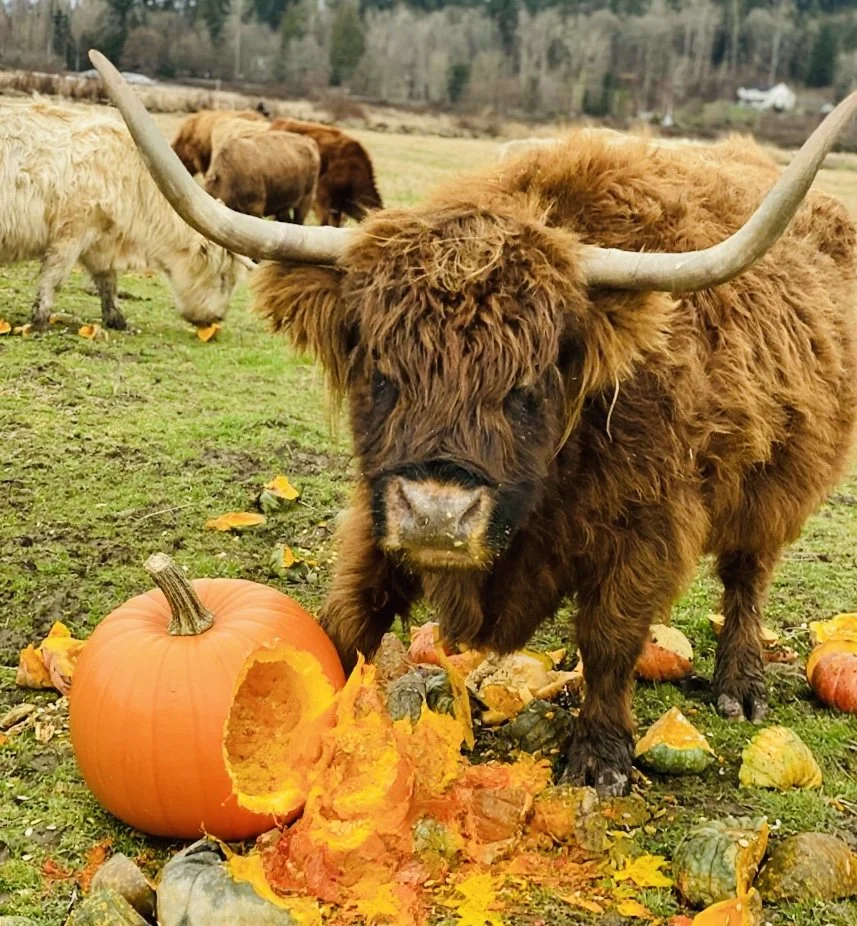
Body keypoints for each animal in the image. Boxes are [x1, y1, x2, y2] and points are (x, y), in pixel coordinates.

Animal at [0, 101, 250, 331]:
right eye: (223, 278)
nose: (218, 318)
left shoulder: (100, 240)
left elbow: (107, 280)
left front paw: (117, 319)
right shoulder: (71, 233)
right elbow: (55, 277)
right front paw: (40, 320)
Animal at [94, 52, 857, 796]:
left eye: (527, 385)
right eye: (380, 370)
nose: (438, 515)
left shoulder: (649, 524)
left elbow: (611, 635)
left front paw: (600, 757)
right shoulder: (377, 508)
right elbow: (353, 611)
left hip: (776, 487)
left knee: (746, 575)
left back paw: (740, 684)